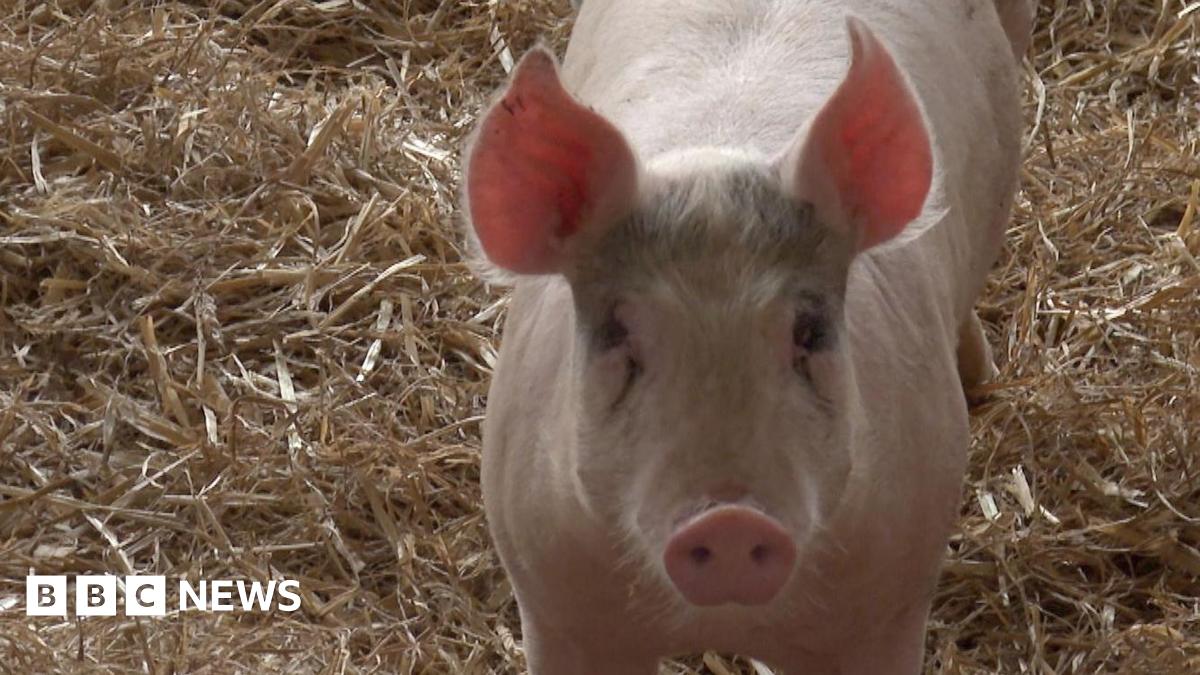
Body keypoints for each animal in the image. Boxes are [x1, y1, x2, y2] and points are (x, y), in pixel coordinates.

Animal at [460, 1, 1032, 673]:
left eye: (808, 332)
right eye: (619, 335)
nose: (730, 520)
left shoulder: (893, 603)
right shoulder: (552, 601)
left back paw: (982, 379)